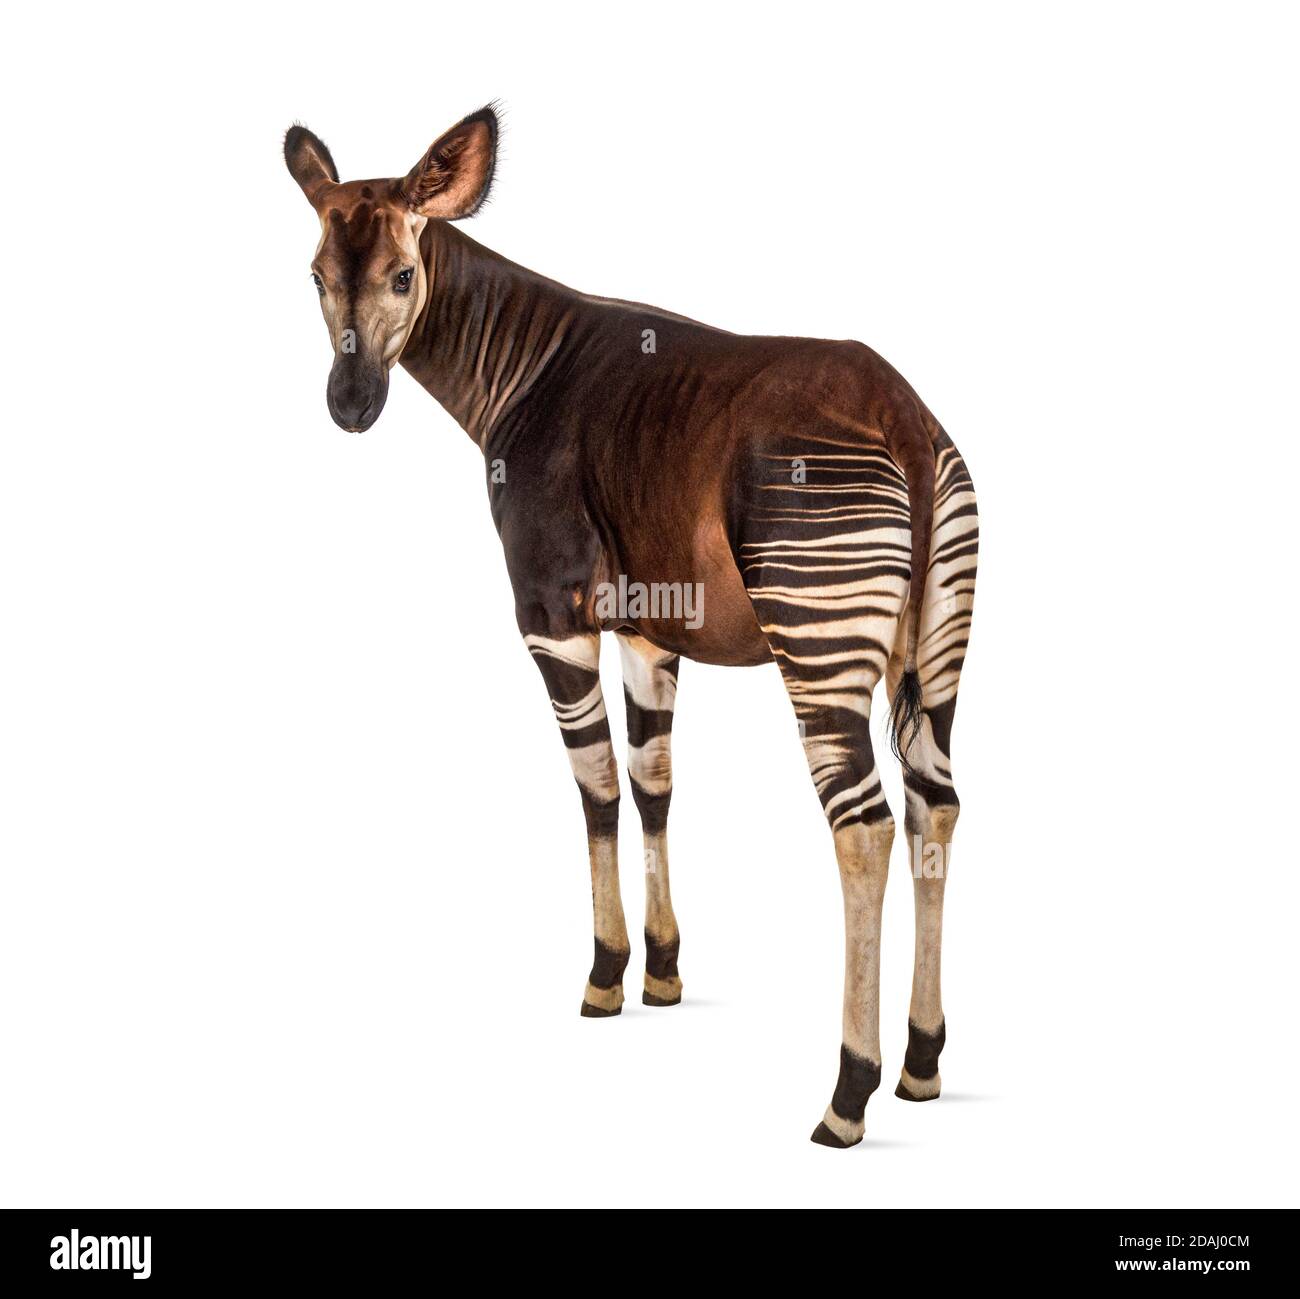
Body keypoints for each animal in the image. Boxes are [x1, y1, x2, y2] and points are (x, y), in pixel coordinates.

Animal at [284, 105, 978, 1147]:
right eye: (316, 277)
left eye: (403, 276)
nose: (350, 404)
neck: (519, 370)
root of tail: (903, 418)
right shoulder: (652, 629)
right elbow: (656, 783)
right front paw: (664, 968)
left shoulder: (550, 614)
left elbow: (598, 789)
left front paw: (605, 976)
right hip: (937, 656)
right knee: (937, 806)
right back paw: (924, 1064)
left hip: (817, 641)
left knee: (863, 828)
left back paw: (848, 1094)